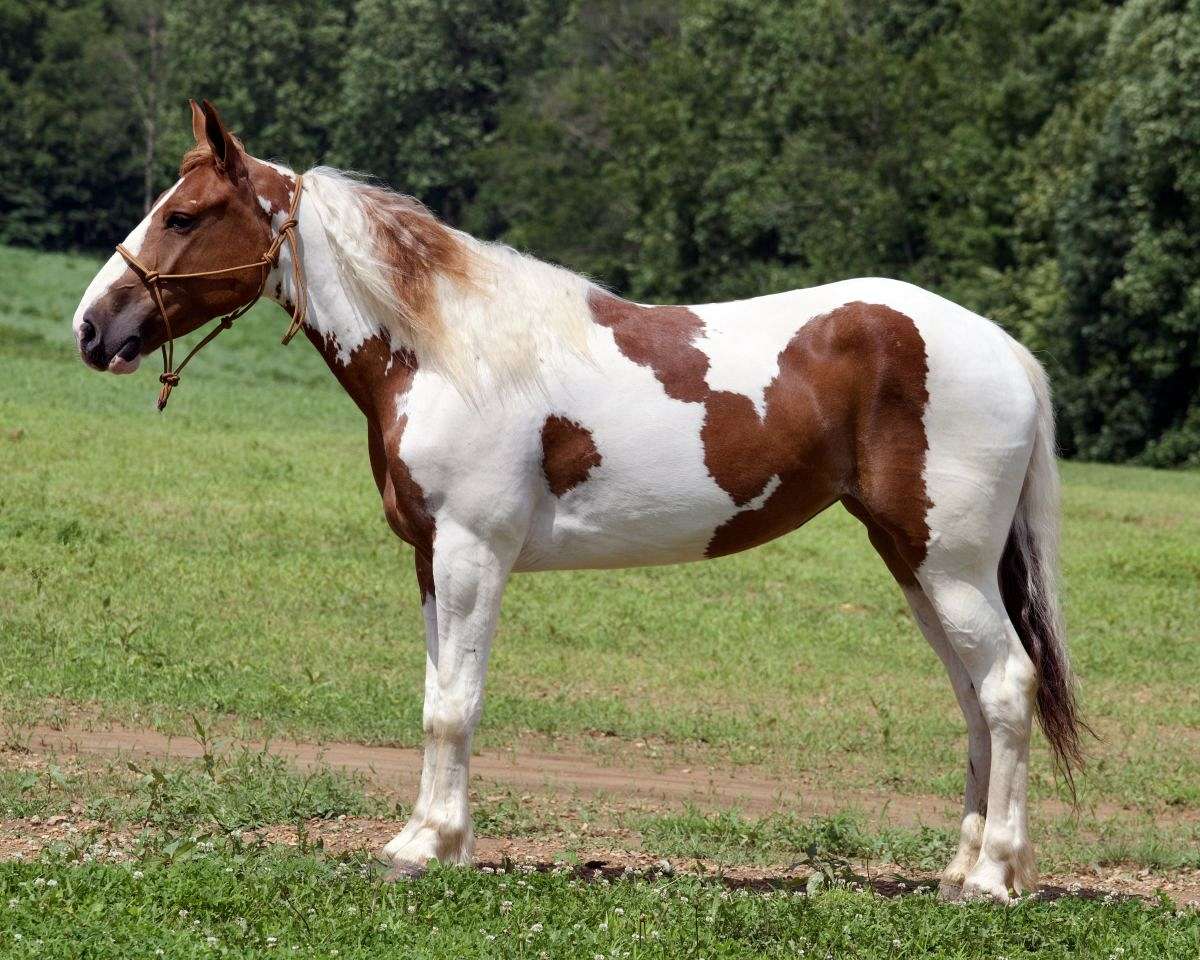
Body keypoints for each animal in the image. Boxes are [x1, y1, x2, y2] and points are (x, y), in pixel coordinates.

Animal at [73, 100, 1084, 901]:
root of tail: (1001, 348)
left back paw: (993, 878)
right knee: (975, 700)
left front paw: (435, 849)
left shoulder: (473, 553)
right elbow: (434, 694)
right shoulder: (430, 558)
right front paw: (419, 839)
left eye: (185, 215)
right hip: (915, 563)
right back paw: (959, 870)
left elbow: (456, 705)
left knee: (1006, 686)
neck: (444, 352)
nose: (92, 328)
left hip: (949, 565)